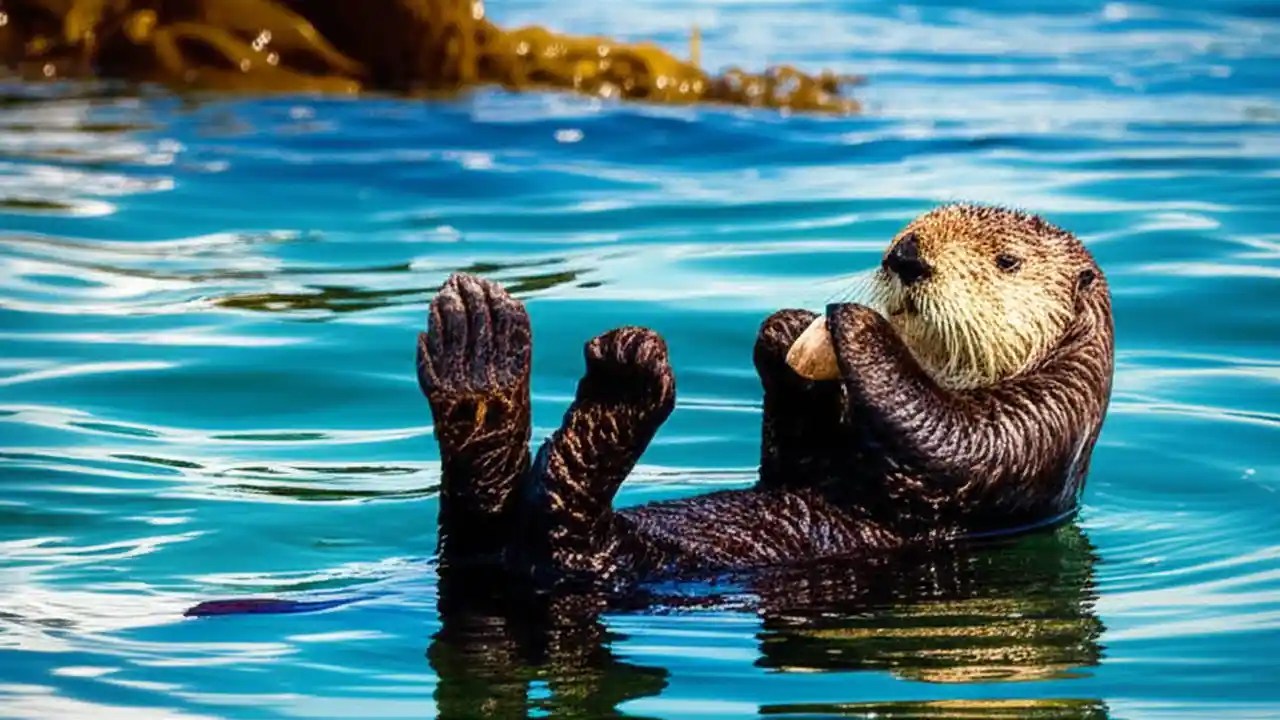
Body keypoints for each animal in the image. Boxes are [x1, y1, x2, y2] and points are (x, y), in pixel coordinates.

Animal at [417, 203, 1114, 591]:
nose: (906, 255)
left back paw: (621, 378)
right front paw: (786, 332)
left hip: (598, 559)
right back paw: (477, 353)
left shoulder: (1037, 425)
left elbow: (947, 437)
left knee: (562, 521)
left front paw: (857, 325)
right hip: (483, 543)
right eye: (907, 229)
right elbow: (796, 452)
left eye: (1007, 262)